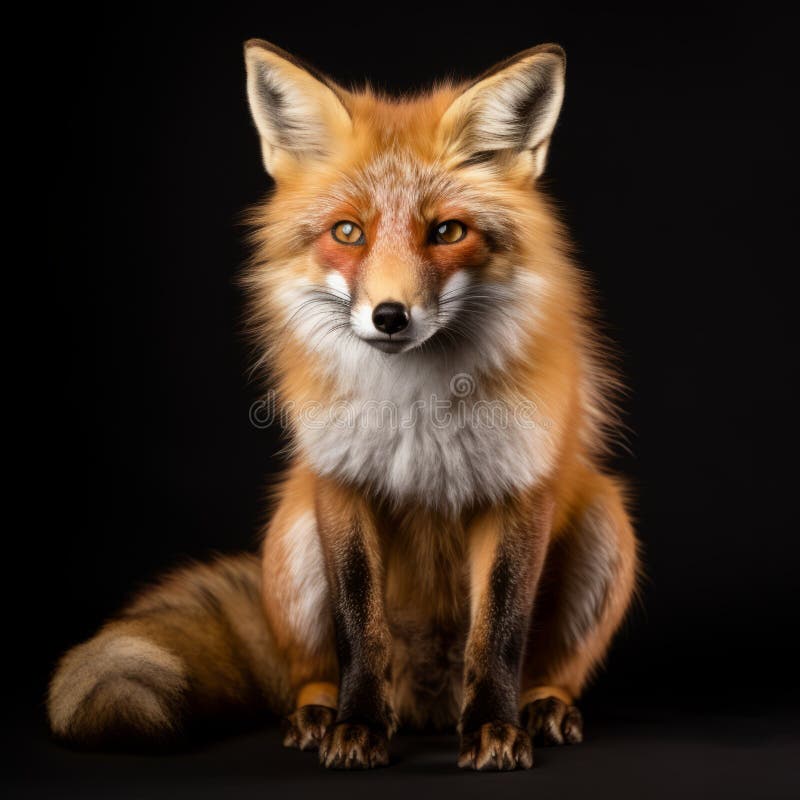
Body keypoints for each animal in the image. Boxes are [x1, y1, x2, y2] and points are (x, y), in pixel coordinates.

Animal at [47, 40, 639, 771]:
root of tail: (428, 707)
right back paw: (319, 711)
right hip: (294, 532)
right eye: (349, 232)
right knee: (310, 669)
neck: (414, 408)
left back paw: (542, 707)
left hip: (605, 524)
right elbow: (360, 629)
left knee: (545, 666)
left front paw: (494, 729)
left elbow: (499, 634)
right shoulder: (341, 484)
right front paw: (356, 727)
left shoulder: (518, 488)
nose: (390, 316)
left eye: (448, 231)